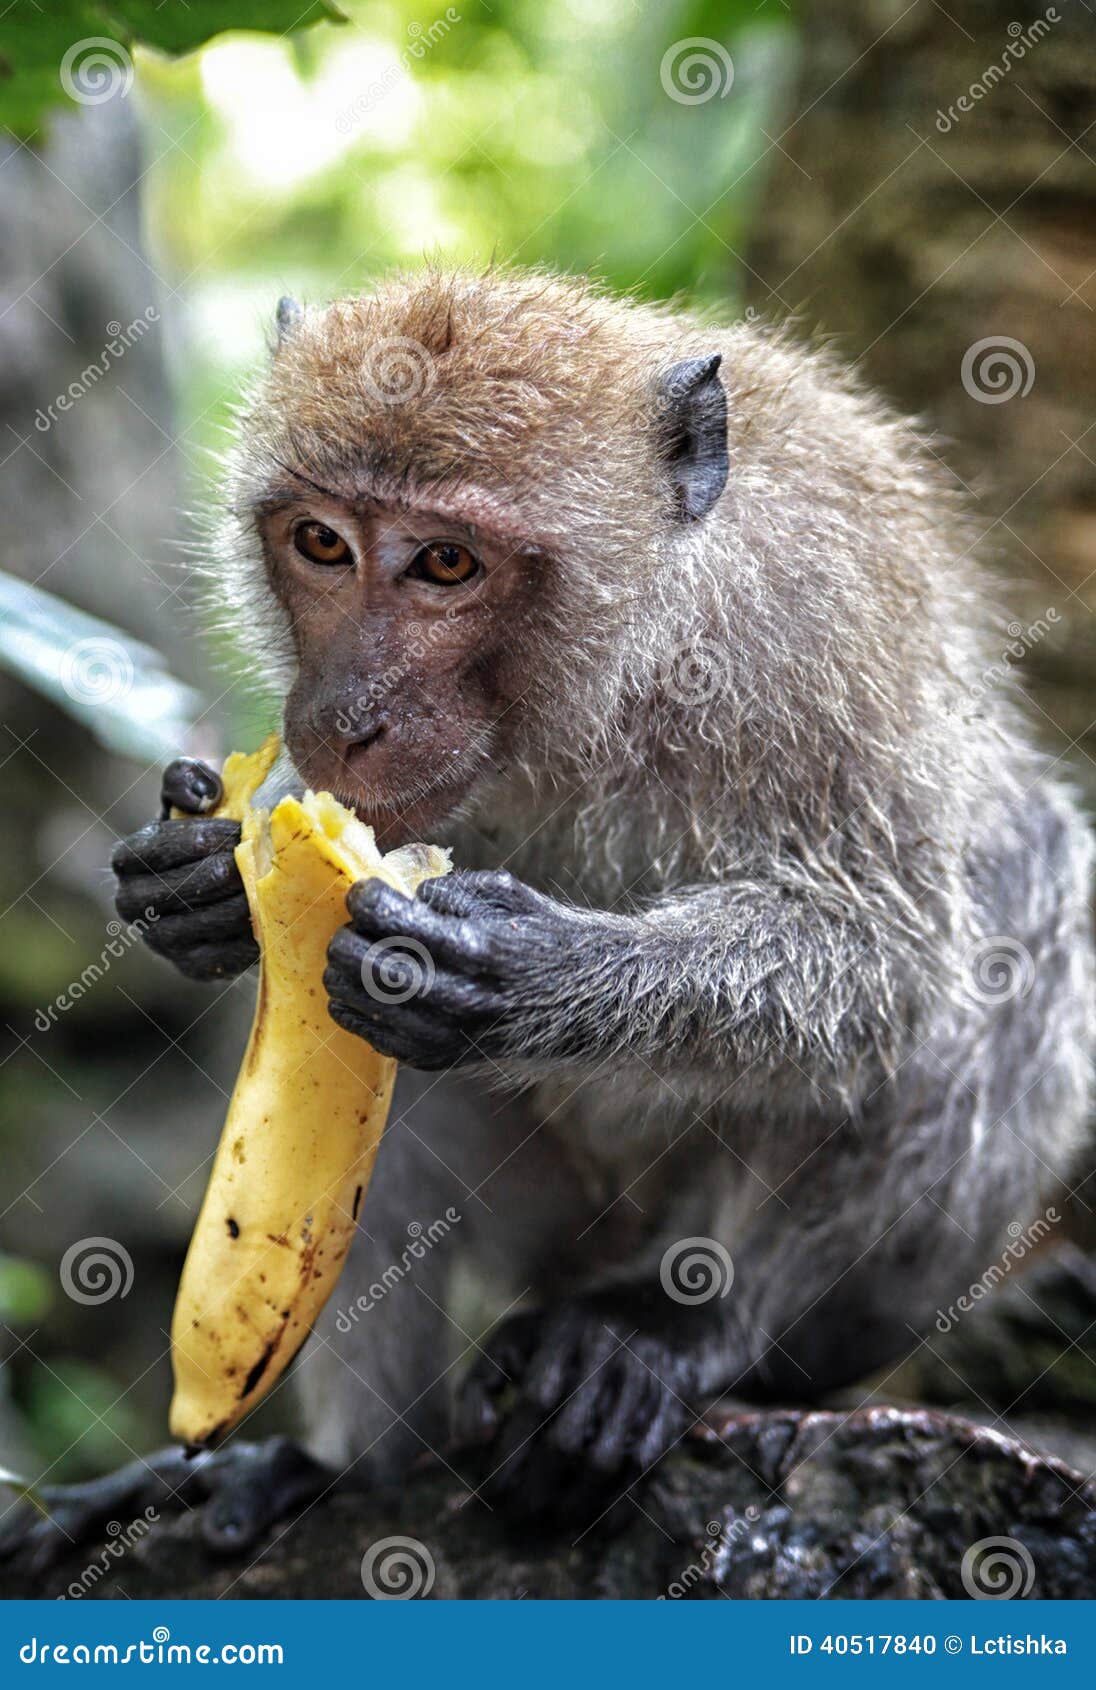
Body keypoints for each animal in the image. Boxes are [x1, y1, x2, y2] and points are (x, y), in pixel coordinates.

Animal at [3, 267, 1092, 1567]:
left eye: (444, 564)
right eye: (322, 542)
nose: (343, 716)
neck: (629, 665)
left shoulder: (823, 631)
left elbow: (896, 957)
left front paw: (525, 973)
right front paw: (194, 889)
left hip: (861, 1305)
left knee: (1018, 892)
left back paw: (671, 1331)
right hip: (545, 1224)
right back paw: (345, 1467)